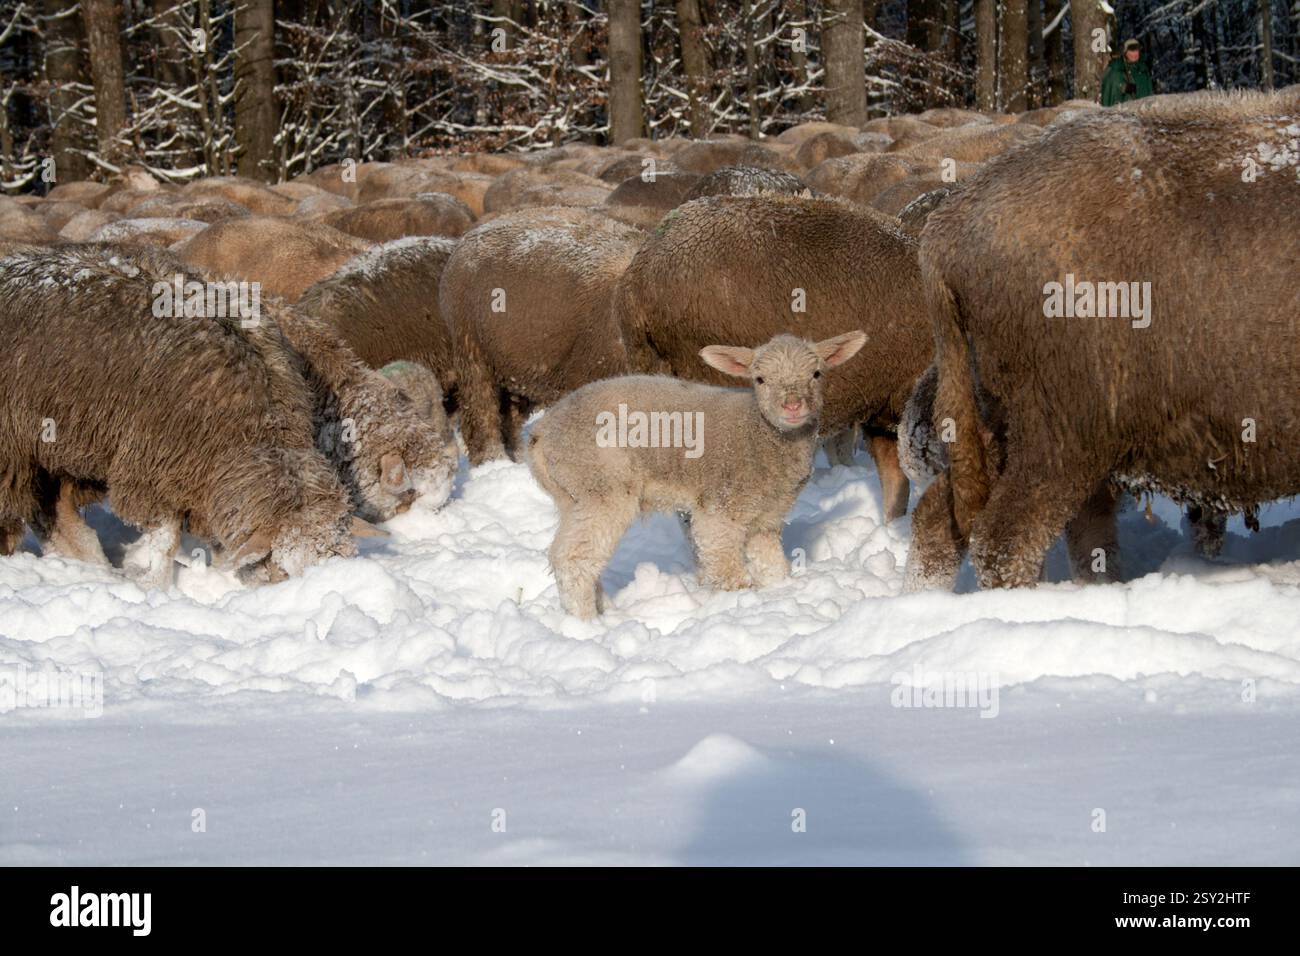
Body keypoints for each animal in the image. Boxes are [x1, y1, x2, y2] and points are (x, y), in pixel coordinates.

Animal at [527, 332, 866, 619]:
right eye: (759, 379)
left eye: (816, 374)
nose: (792, 406)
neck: (758, 433)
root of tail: (541, 433)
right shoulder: (721, 511)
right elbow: (726, 569)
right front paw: (738, 600)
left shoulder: (767, 518)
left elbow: (771, 565)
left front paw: (778, 593)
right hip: (600, 485)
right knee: (573, 559)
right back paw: (586, 623)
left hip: (572, 495)